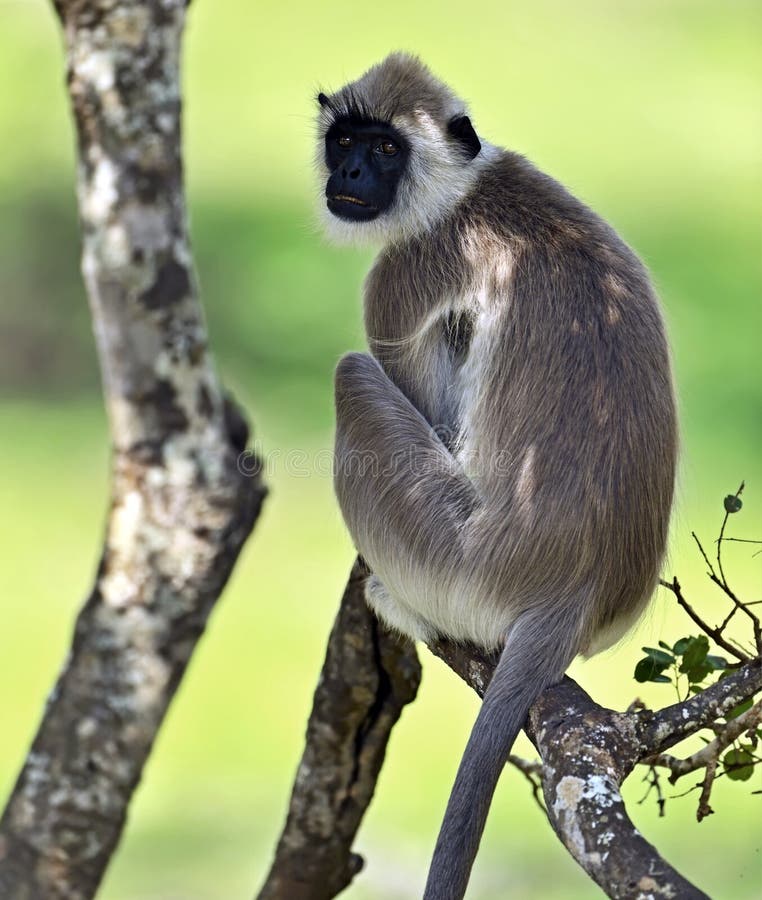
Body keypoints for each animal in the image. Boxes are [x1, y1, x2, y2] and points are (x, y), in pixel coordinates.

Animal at [316, 53, 677, 900]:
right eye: (346, 139)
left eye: (386, 149)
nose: (350, 170)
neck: (464, 193)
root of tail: (573, 592)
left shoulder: (408, 269)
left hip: (454, 559)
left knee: (355, 378)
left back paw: (404, 605)